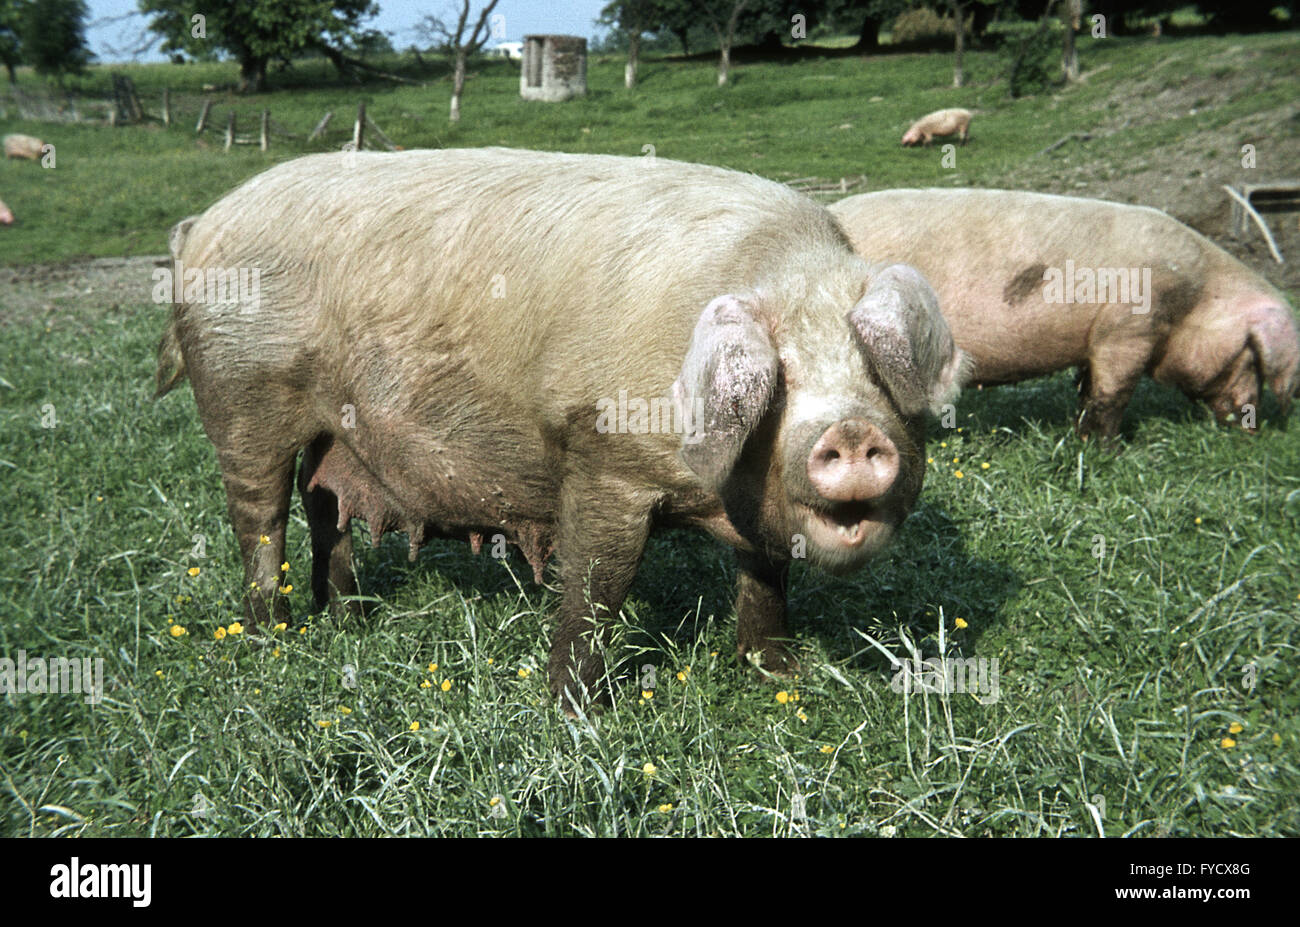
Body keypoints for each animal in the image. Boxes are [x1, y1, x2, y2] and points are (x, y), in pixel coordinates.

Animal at [154, 148, 966, 711]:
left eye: (872, 367)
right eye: (781, 375)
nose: (854, 432)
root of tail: (202, 225)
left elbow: (767, 575)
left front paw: (776, 674)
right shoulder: (603, 458)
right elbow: (597, 586)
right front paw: (576, 713)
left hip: (335, 432)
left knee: (324, 502)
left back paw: (350, 621)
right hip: (242, 400)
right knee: (260, 519)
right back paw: (274, 638)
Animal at [829, 188, 1300, 438]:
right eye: (1249, 356)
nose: (1252, 429)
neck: (1193, 298)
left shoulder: (1098, 342)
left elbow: (1089, 385)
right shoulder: (1129, 326)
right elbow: (1114, 392)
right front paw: (1103, 449)